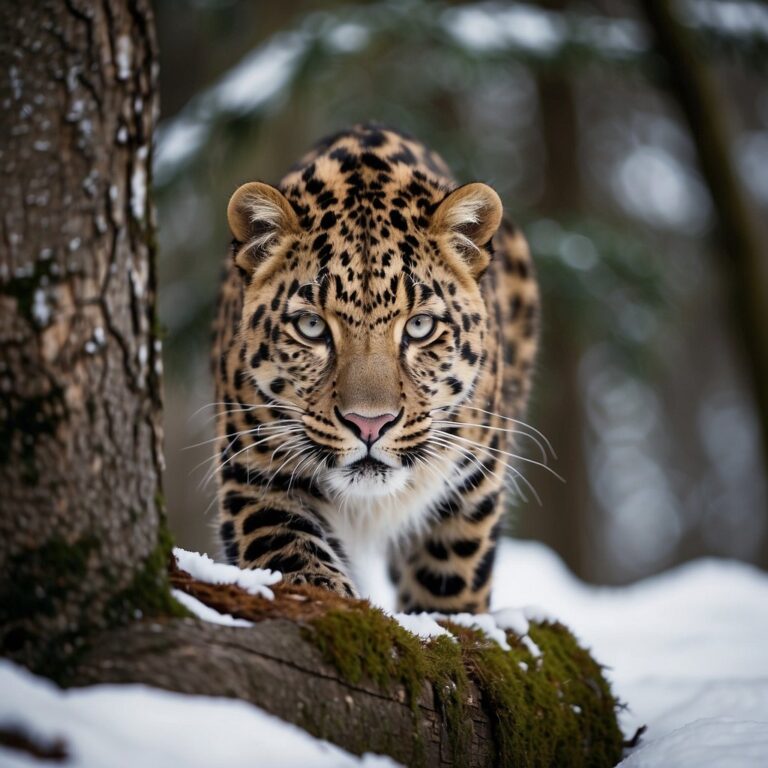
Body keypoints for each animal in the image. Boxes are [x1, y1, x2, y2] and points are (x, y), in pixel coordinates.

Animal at [212, 123, 538, 614]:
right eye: (312, 326)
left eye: (420, 326)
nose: (370, 425)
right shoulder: (255, 472)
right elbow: (290, 552)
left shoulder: (473, 485)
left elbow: (449, 585)